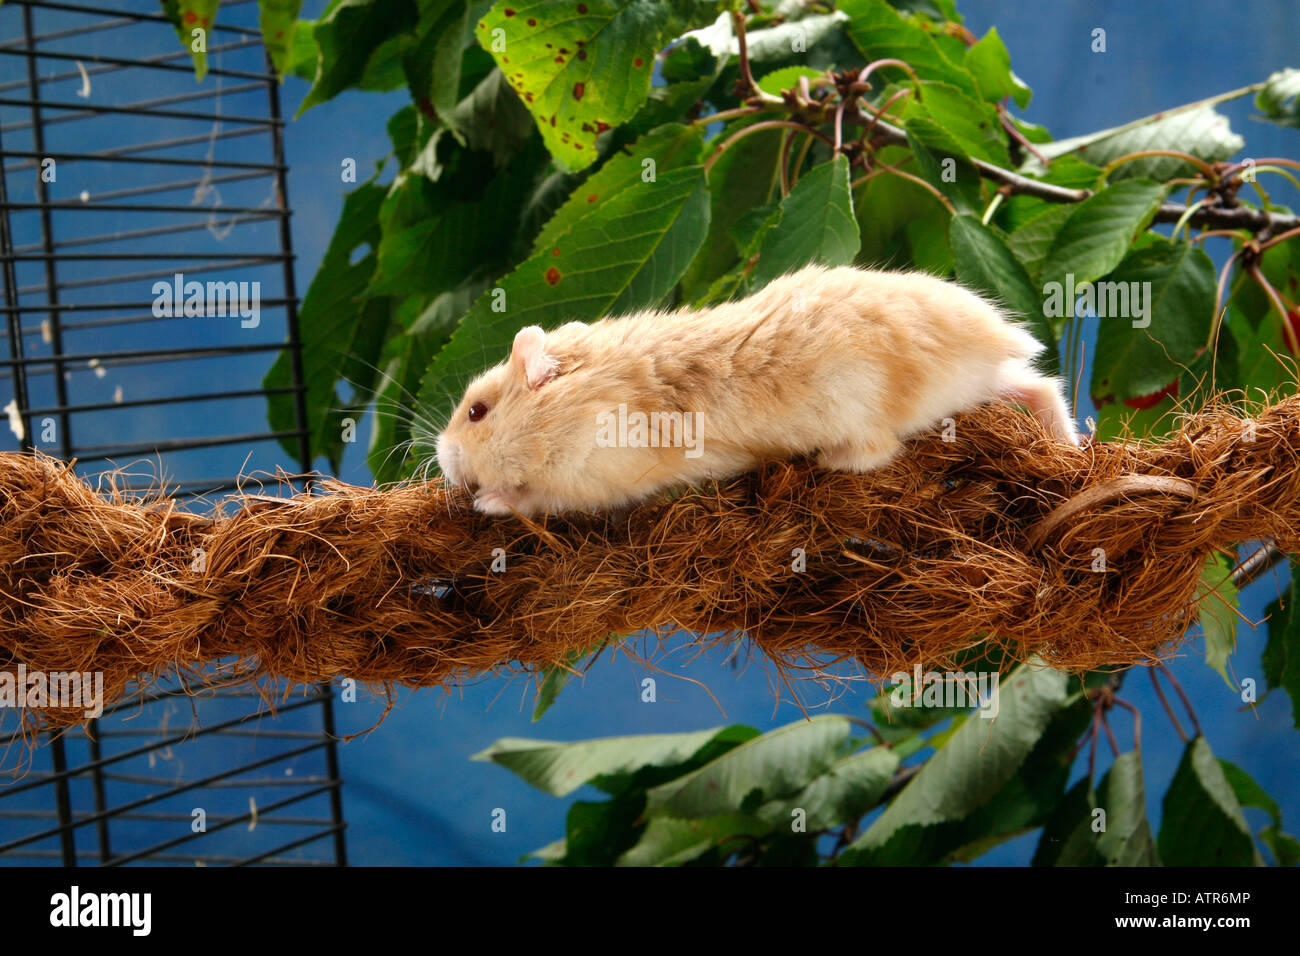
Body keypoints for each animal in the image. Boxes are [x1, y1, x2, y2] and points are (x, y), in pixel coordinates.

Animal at [434, 264, 1078, 516]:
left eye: (477, 412)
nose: (439, 459)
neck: (577, 398)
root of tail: (993, 337)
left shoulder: (598, 474)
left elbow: (535, 499)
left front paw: (487, 501)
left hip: (862, 410)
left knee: (875, 452)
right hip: (982, 386)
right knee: (1043, 386)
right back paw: (1072, 448)